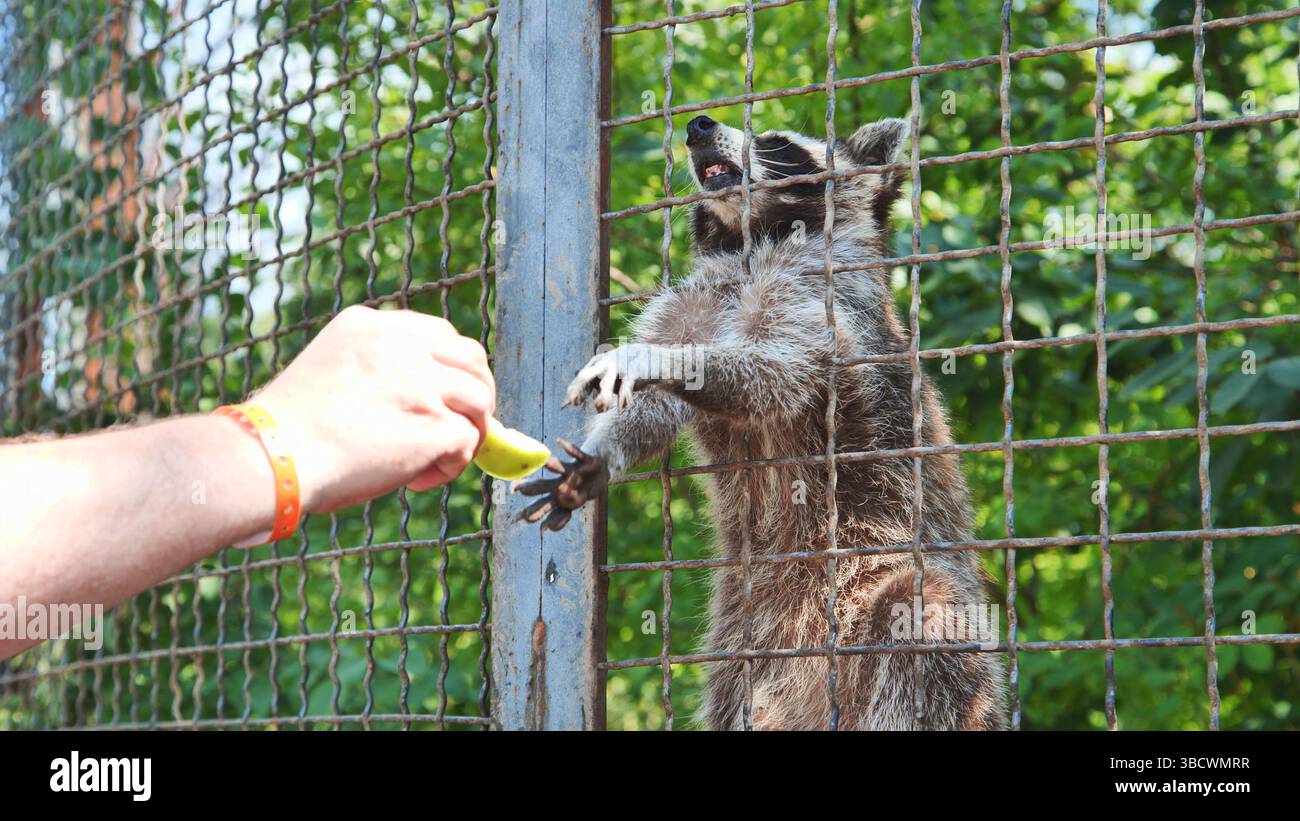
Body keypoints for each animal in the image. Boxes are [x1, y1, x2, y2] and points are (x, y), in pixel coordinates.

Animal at [517, 114, 1006, 731]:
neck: (749, 240)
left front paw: (665, 362)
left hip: (899, 594)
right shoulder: (700, 297)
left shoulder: (829, 304)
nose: (699, 124)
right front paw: (602, 457)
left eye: (777, 142)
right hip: (737, 645)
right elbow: (655, 409)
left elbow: (778, 374)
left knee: (926, 622)